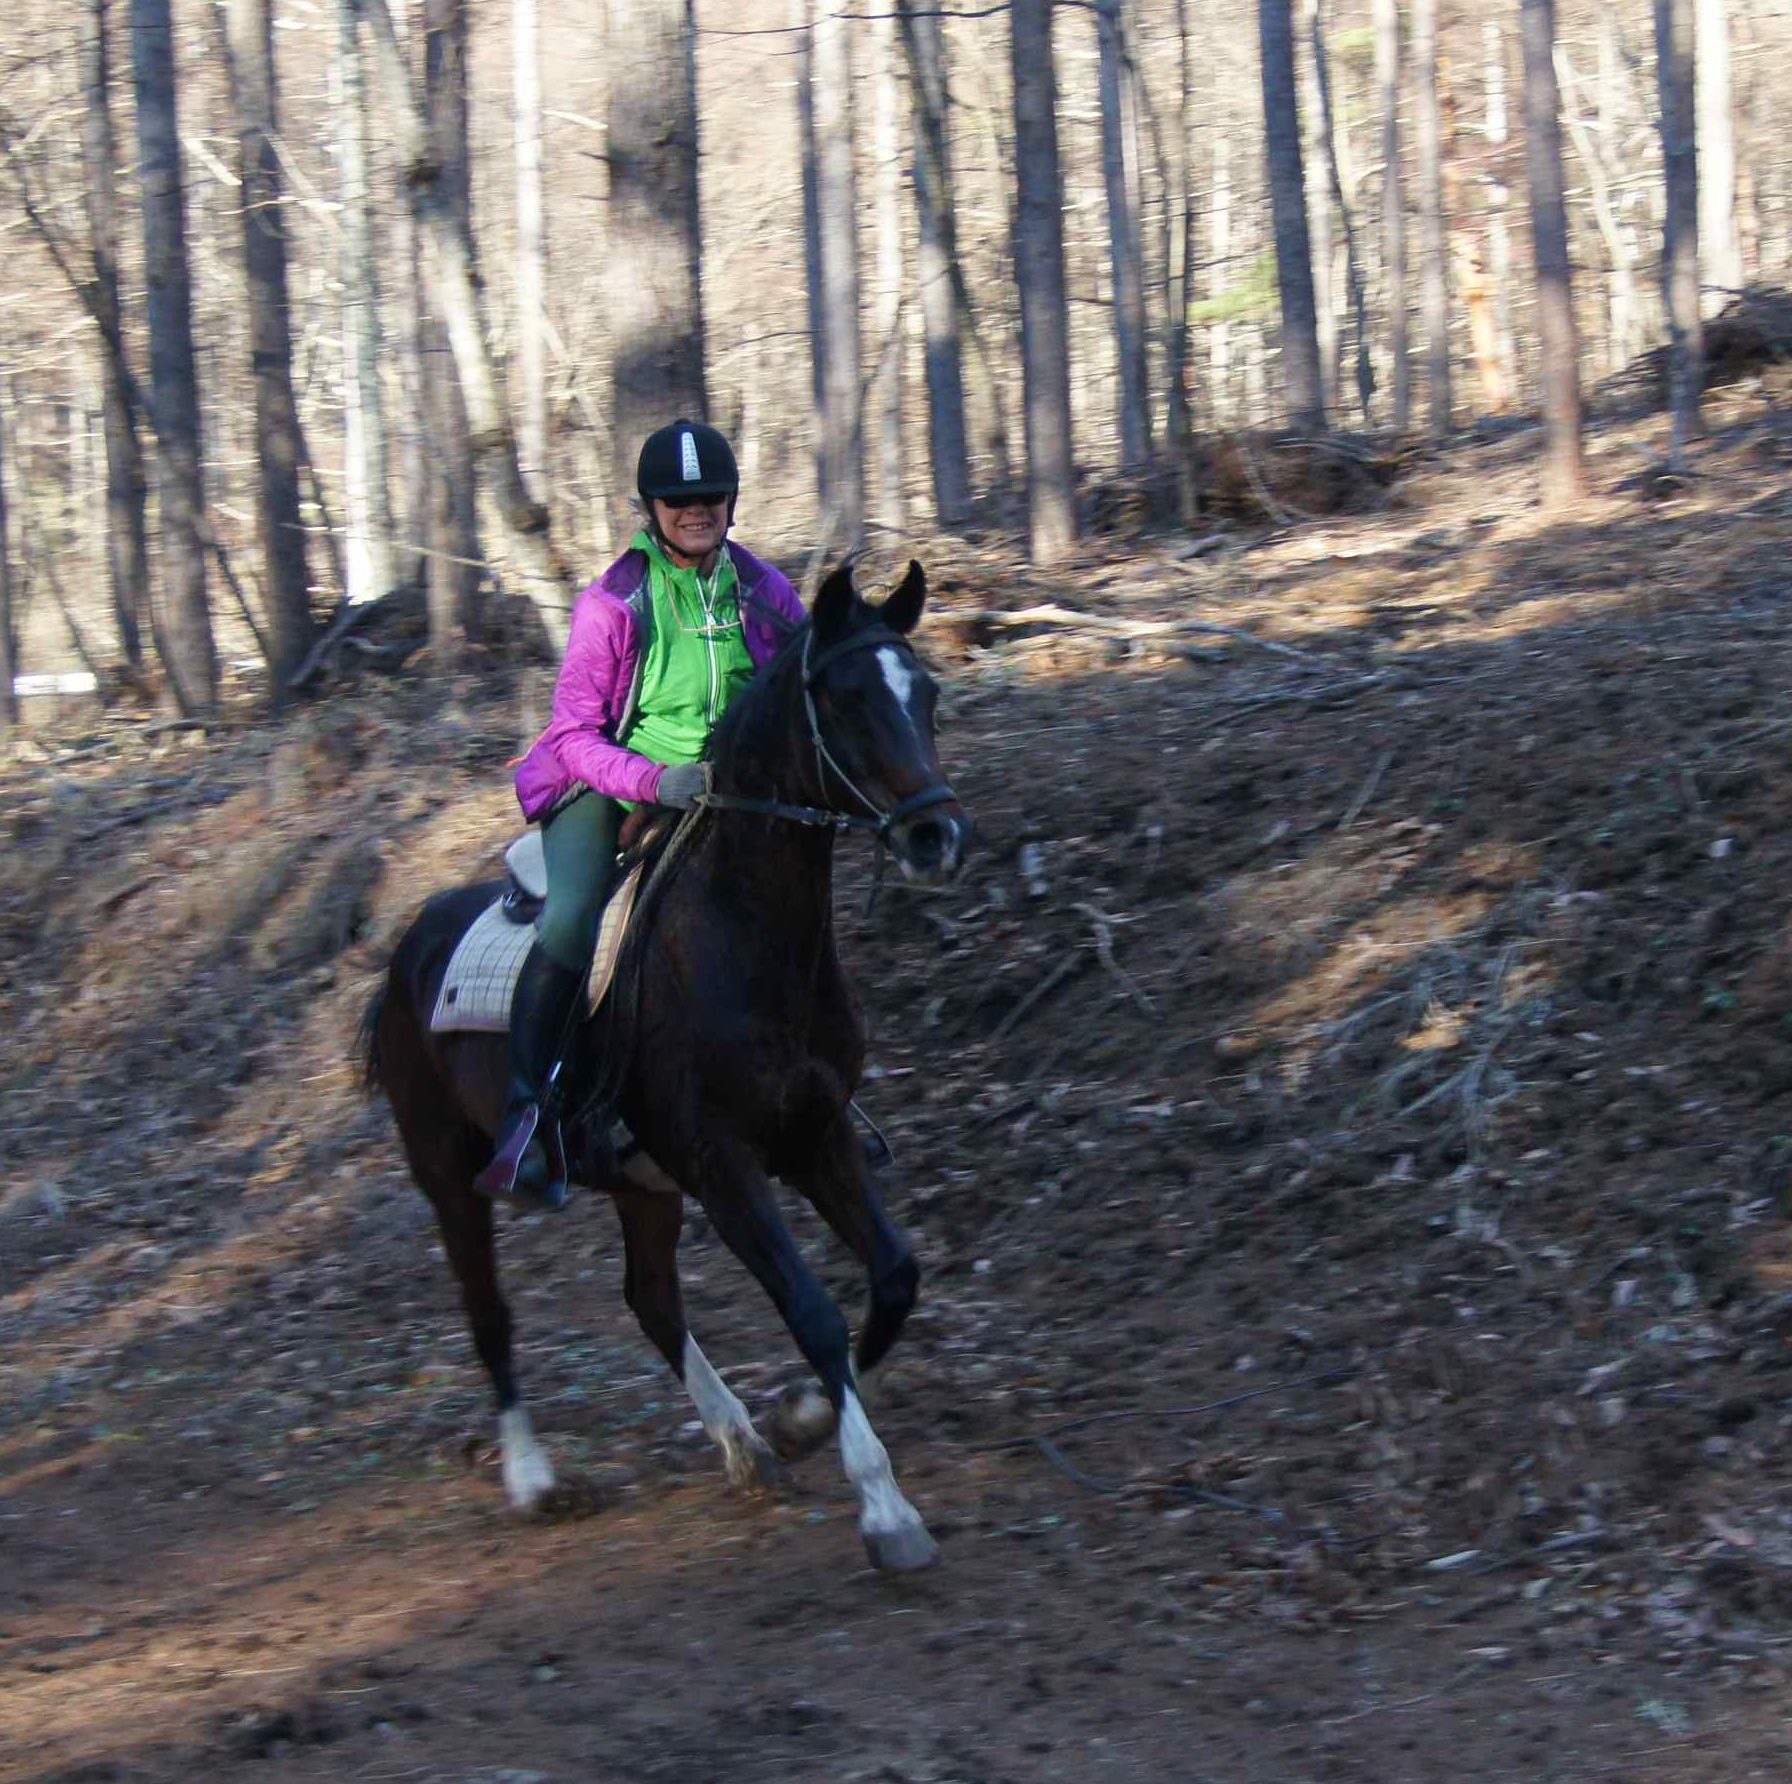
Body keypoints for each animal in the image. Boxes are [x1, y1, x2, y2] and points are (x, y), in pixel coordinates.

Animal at [361, 559, 970, 1572]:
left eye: (924, 695)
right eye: (847, 699)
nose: (936, 839)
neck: (746, 941)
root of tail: (406, 947)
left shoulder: (815, 1135)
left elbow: (893, 1277)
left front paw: (801, 1417)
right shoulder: (721, 1162)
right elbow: (810, 1307)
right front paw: (886, 1507)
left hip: (643, 1186)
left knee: (648, 1298)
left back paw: (743, 1444)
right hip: (450, 1175)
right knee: (490, 1313)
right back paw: (536, 1481)